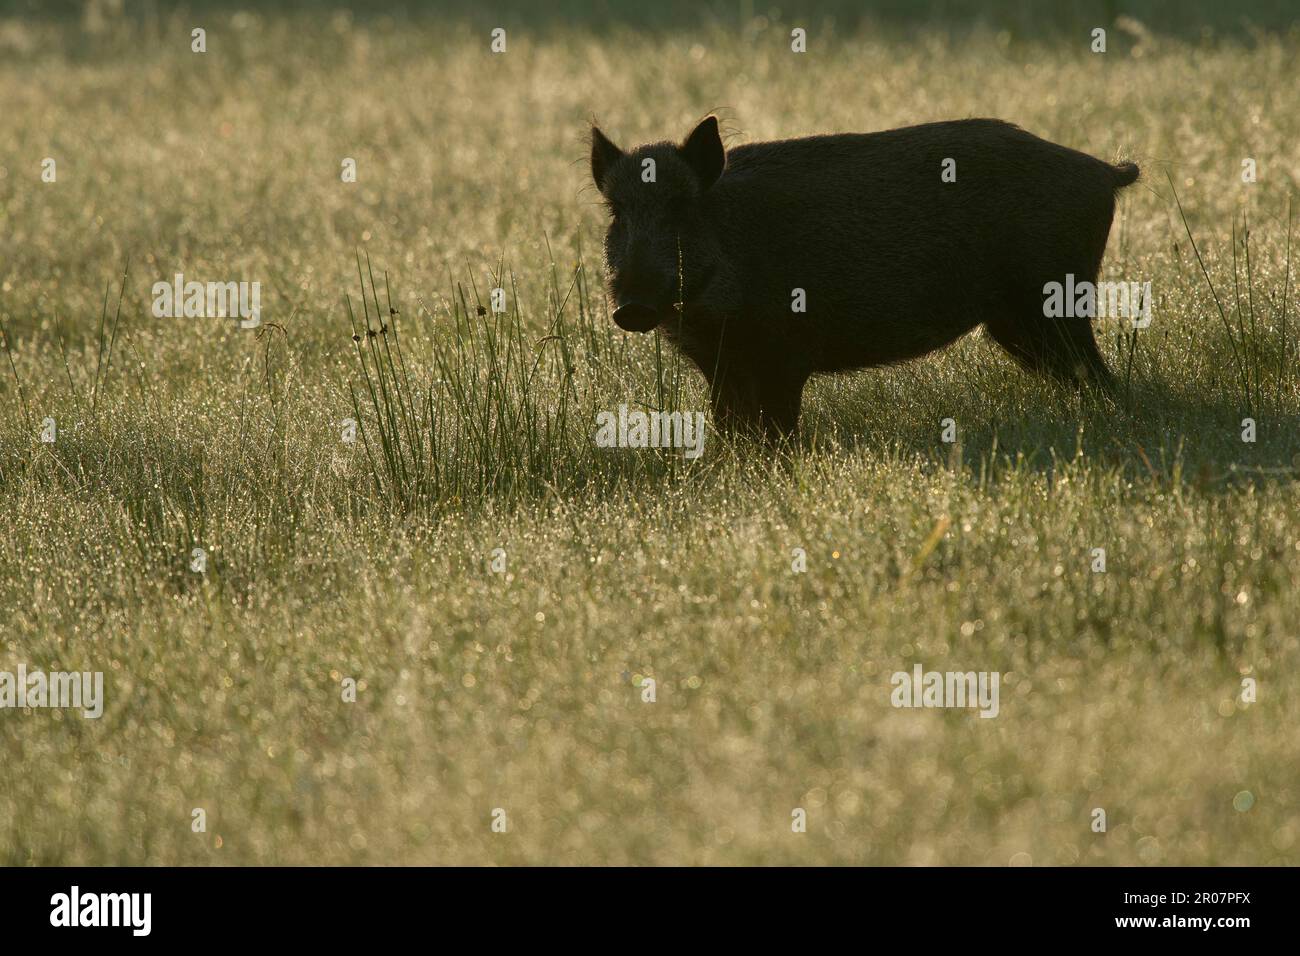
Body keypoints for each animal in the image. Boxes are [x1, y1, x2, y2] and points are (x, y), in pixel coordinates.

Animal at [590, 116, 1139, 439]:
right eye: (617, 213)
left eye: (682, 208)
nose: (631, 306)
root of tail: (1105, 173)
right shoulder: (720, 364)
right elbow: (730, 428)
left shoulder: (786, 355)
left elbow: (777, 430)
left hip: (1054, 299)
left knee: (1100, 376)